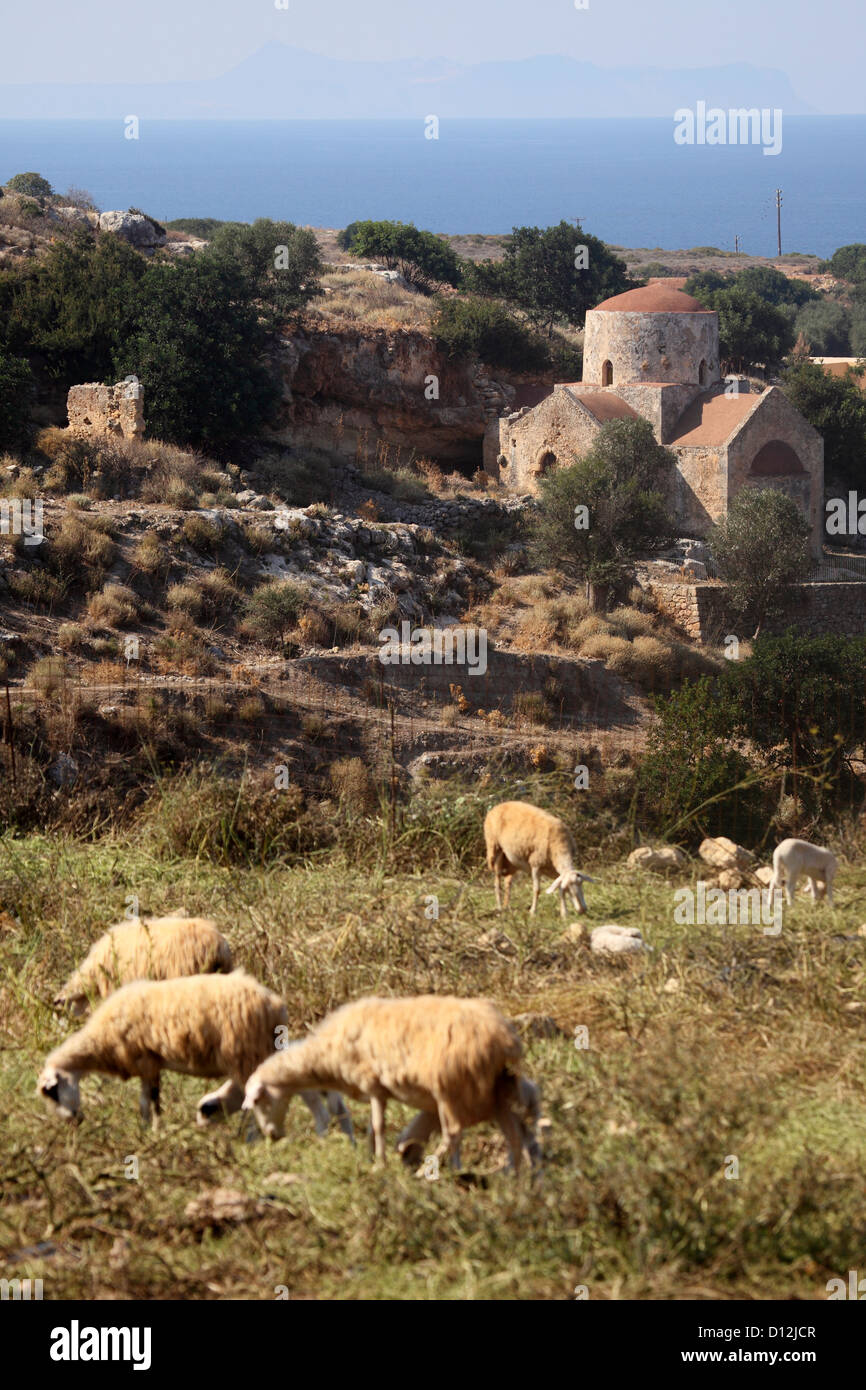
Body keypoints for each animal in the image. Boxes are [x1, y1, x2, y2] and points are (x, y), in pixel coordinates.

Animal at [37, 970, 354, 1142]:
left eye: (52, 1091)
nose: (74, 1122)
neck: (100, 1039)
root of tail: (275, 1004)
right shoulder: (149, 1065)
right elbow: (145, 1102)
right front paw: (144, 1131)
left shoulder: (147, 1061)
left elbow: (152, 1102)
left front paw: (154, 1130)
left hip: (244, 1051)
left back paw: (252, 1136)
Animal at [242, 994, 538, 1172]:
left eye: (259, 1101)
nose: (272, 1136)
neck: (326, 1054)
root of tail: (506, 1039)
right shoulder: (378, 1091)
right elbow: (372, 1129)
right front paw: (370, 1158)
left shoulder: (373, 1086)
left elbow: (377, 1126)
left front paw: (379, 1163)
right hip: (497, 1089)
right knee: (514, 1132)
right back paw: (513, 1178)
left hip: (452, 1088)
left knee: (454, 1132)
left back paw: (426, 1172)